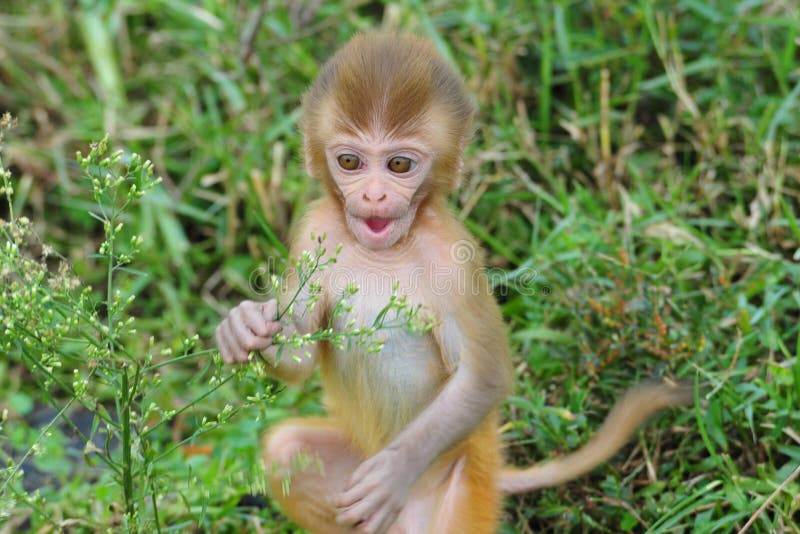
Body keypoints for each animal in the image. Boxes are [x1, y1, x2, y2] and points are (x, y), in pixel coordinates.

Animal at [214, 31, 692, 533]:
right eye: (349, 161)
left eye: (399, 166)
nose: (373, 196)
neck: (385, 250)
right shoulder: (313, 231)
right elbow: (301, 358)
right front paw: (243, 329)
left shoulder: (455, 258)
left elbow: (484, 378)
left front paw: (397, 469)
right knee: (286, 450)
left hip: (464, 488)